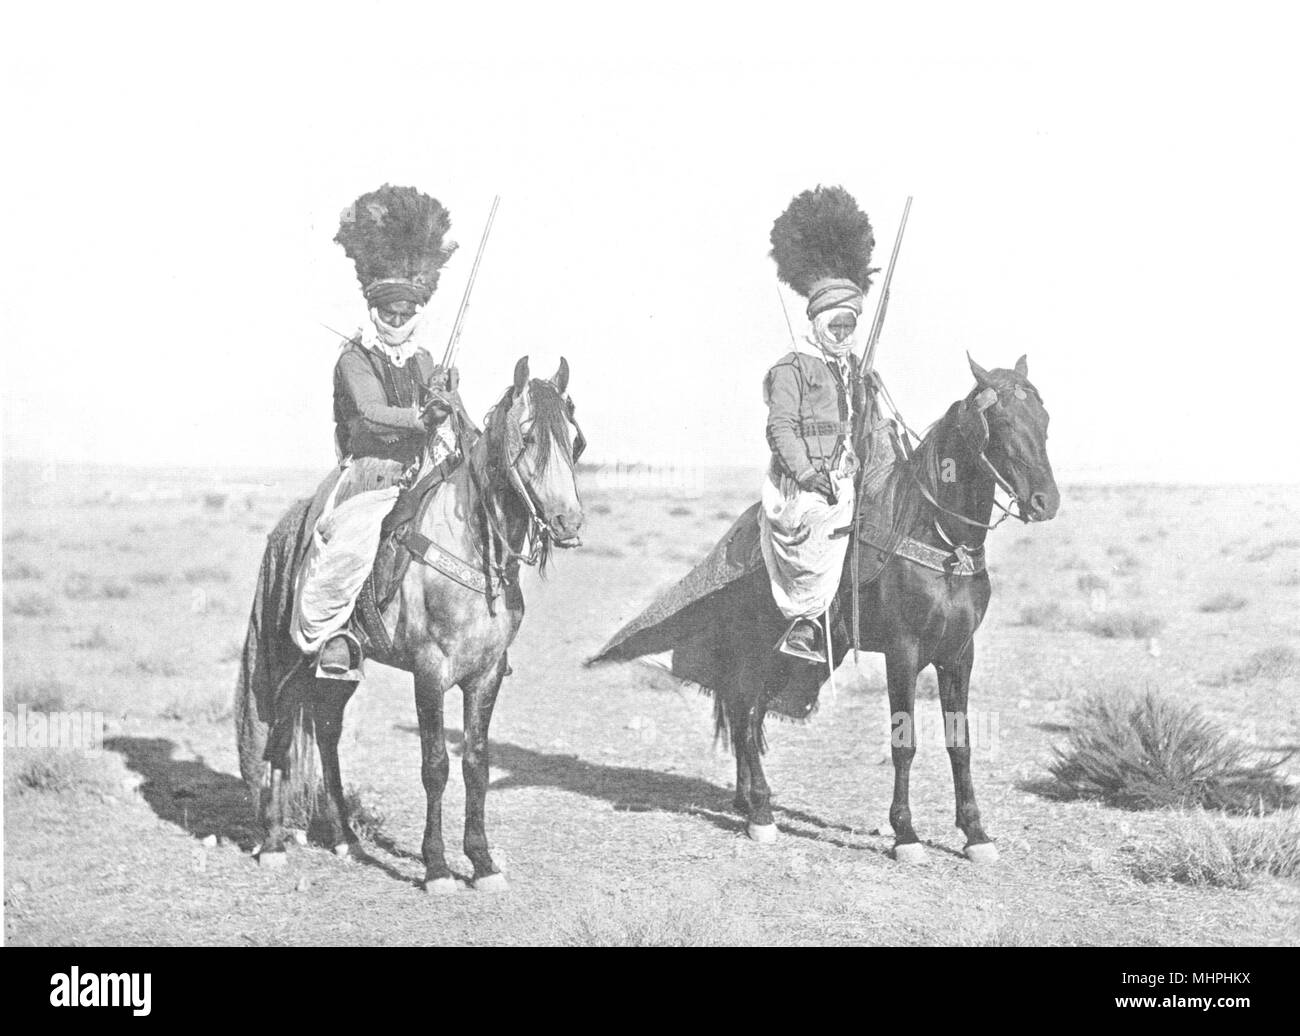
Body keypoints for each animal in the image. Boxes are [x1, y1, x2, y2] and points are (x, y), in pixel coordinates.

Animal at [239, 358, 585, 889]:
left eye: (574, 440)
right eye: (526, 436)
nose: (570, 523)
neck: (473, 549)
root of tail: (284, 530)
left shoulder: (486, 675)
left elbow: (477, 763)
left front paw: (482, 862)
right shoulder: (429, 672)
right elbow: (436, 764)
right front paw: (437, 867)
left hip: (338, 670)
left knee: (328, 730)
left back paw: (346, 838)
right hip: (289, 661)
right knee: (277, 735)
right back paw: (274, 842)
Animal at [717, 356, 1060, 863]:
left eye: (1044, 420)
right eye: (999, 424)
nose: (1046, 502)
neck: (942, 540)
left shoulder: (959, 654)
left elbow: (960, 743)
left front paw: (975, 833)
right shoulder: (904, 653)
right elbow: (905, 743)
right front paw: (906, 834)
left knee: (750, 714)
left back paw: (747, 802)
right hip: (757, 647)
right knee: (747, 709)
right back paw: (760, 813)